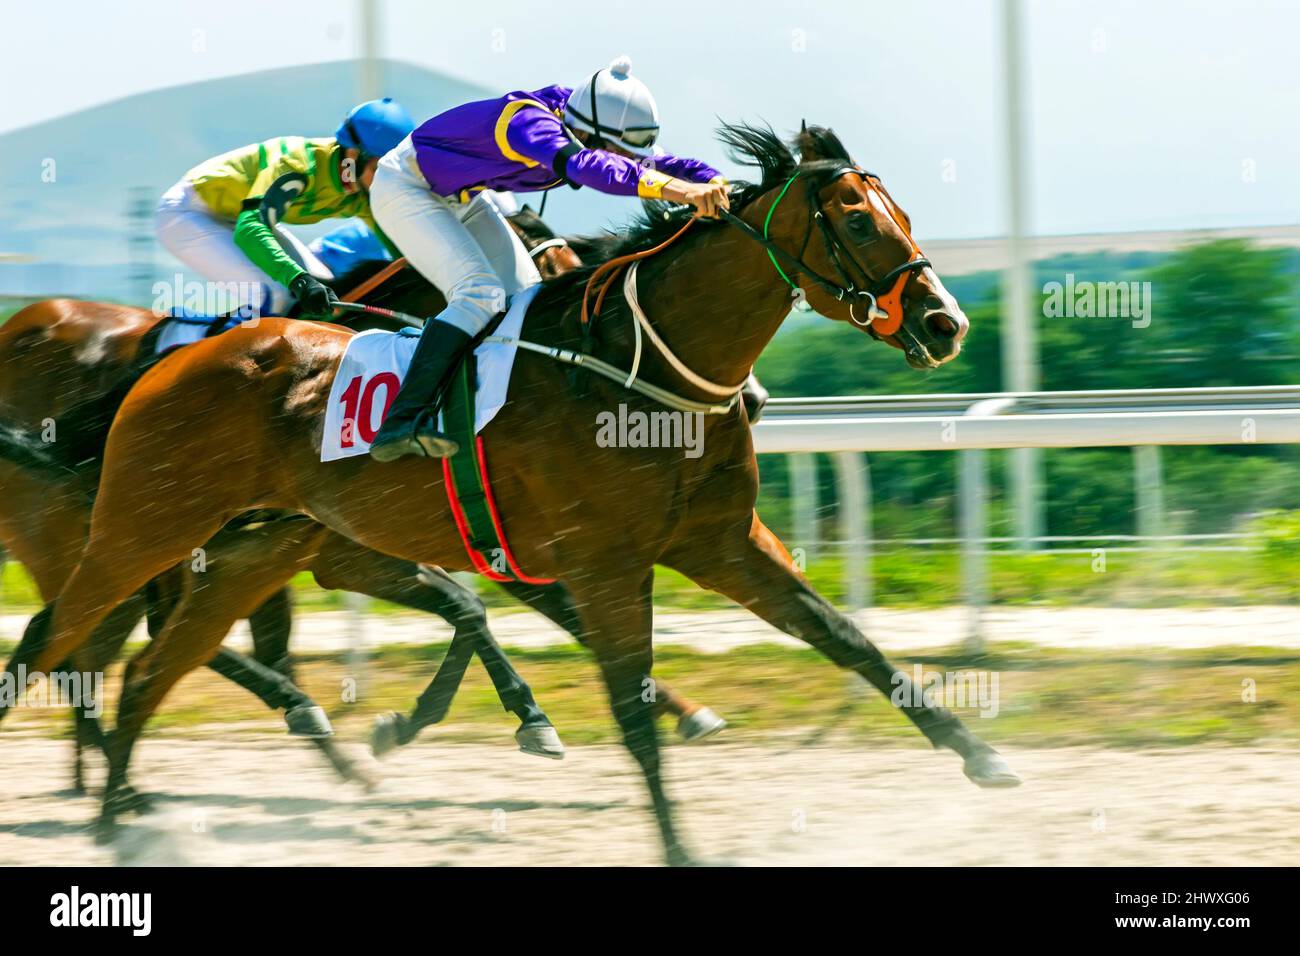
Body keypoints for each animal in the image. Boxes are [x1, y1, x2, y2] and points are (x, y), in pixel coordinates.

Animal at [1, 123, 1018, 864]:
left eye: (903, 212)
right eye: (858, 221)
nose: (946, 324)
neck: (639, 369)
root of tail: (162, 368)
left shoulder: (723, 542)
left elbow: (850, 640)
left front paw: (984, 757)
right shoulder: (601, 561)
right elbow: (622, 703)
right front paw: (674, 836)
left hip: (251, 551)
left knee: (141, 674)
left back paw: (126, 820)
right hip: (136, 532)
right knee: (54, 640)